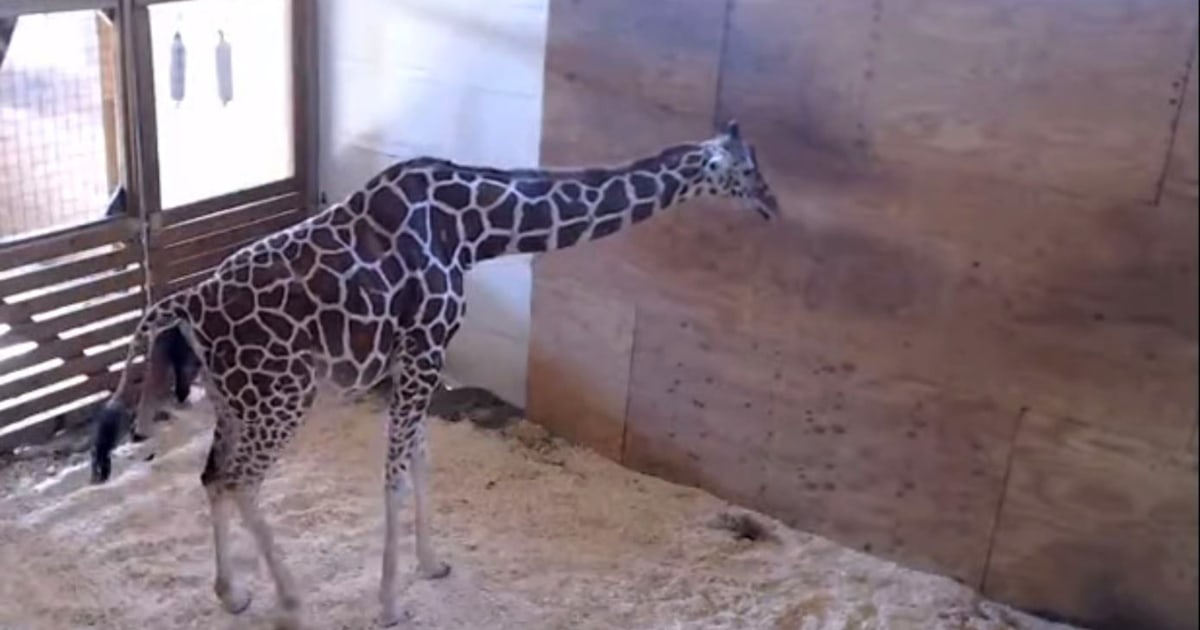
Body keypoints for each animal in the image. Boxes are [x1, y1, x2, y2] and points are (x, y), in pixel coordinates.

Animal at [87, 119, 778, 628]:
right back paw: (291, 599)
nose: (773, 205)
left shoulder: (416, 358)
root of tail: (183, 305)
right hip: (282, 393)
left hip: (236, 397)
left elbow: (422, 460)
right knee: (240, 481)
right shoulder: (424, 348)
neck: (472, 229)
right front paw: (391, 603)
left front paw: (431, 565)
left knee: (212, 476)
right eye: (748, 171)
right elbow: (394, 477)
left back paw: (232, 594)